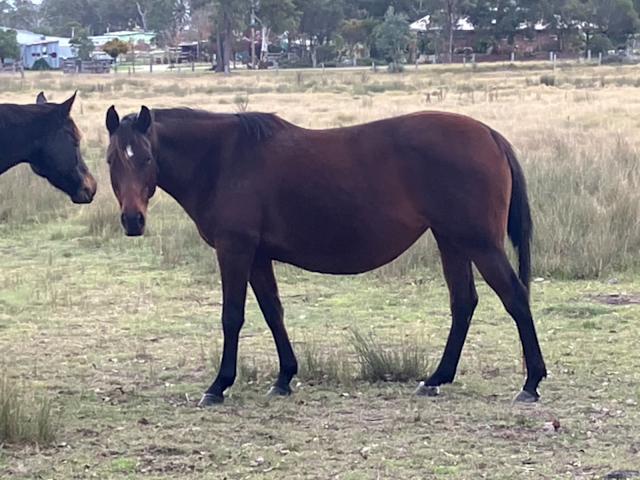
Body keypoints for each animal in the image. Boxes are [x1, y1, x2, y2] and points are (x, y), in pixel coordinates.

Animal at [104, 105, 547, 406]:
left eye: (146, 157)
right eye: (111, 159)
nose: (132, 220)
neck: (223, 159)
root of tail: (489, 133)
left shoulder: (235, 250)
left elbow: (233, 318)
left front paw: (218, 386)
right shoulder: (258, 257)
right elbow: (273, 312)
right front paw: (284, 377)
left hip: (478, 242)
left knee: (514, 297)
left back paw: (531, 382)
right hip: (452, 241)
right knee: (464, 303)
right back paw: (437, 378)